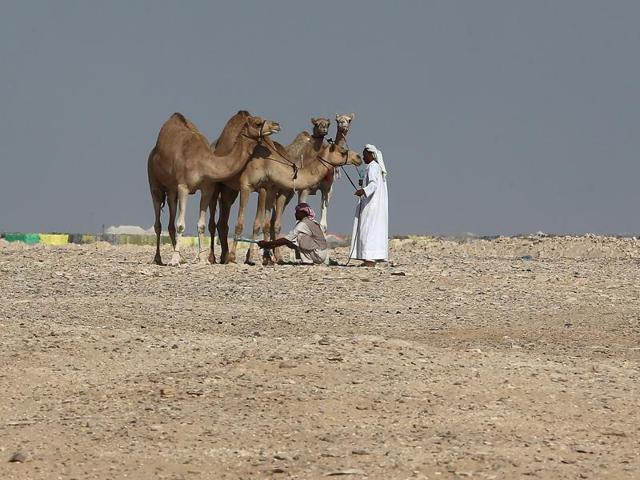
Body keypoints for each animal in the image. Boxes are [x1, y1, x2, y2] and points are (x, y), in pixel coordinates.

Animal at [147, 111, 280, 266]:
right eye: (257, 123)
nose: (276, 125)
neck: (203, 162)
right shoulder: (183, 187)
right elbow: (180, 225)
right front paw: (174, 260)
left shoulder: (207, 188)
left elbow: (201, 225)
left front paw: (203, 259)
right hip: (154, 183)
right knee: (158, 222)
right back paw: (158, 258)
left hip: (171, 190)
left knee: (170, 220)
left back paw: (182, 258)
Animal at [207, 137, 361, 265]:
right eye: (343, 151)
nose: (358, 157)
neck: (269, 164)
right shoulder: (247, 186)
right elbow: (242, 223)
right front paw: (237, 258)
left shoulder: (270, 188)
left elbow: (268, 224)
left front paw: (268, 258)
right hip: (216, 183)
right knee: (214, 216)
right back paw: (215, 258)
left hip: (229, 188)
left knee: (223, 218)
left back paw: (223, 257)